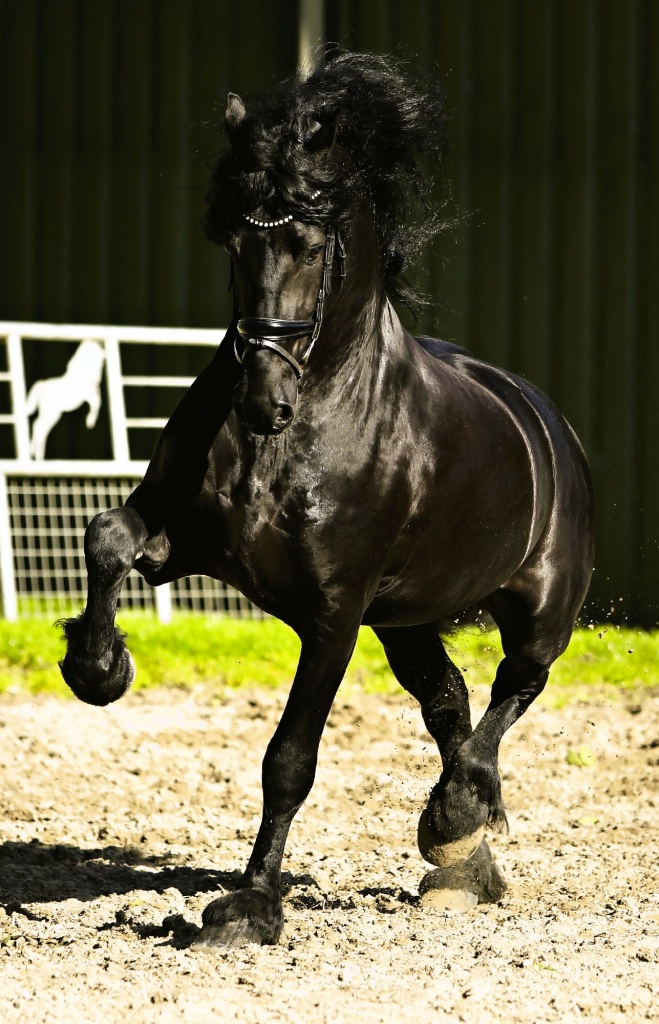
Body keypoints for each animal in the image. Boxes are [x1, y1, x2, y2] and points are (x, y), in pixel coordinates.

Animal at [59, 53, 594, 947]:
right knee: (447, 702)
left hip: (536, 611)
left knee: (511, 691)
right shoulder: (181, 543)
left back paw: (454, 821)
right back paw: (462, 859)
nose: (261, 401)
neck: (307, 423)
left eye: (309, 245)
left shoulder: (334, 614)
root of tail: (543, 418)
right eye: (233, 238)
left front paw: (248, 907)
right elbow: (106, 535)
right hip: (406, 621)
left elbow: (289, 760)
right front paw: (98, 667)